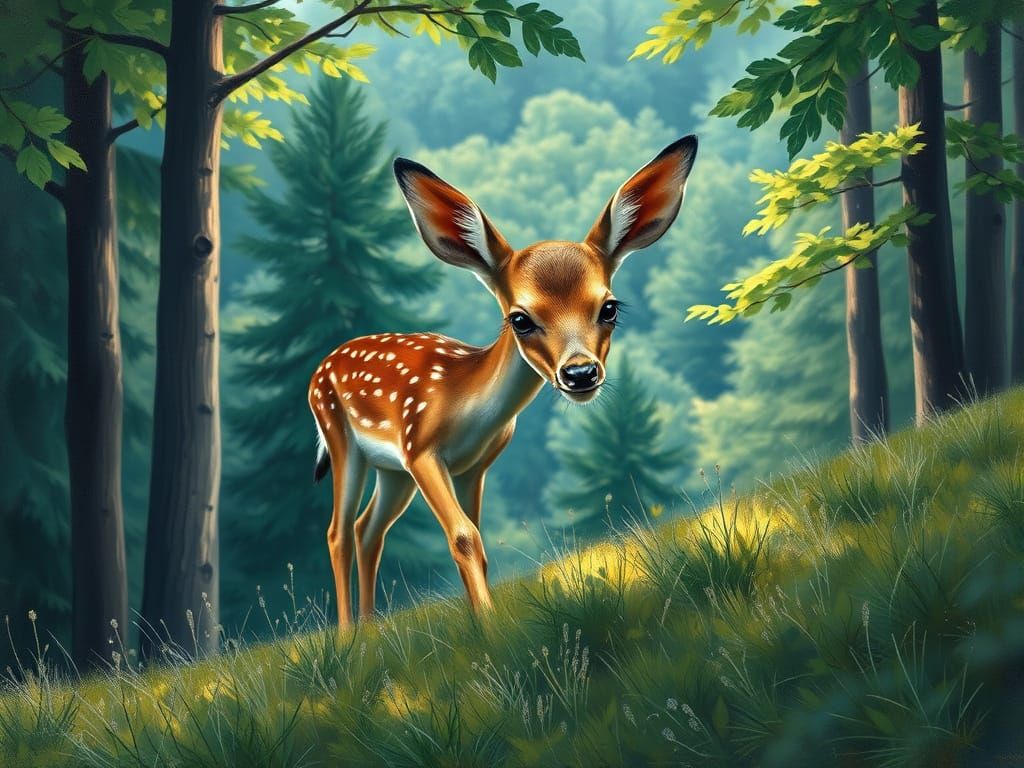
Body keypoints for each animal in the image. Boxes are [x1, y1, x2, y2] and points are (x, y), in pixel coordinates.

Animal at [307, 135, 697, 630]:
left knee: (367, 529)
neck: (466, 406)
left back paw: (371, 629)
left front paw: (482, 623)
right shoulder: (421, 448)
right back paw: (346, 636)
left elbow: (477, 538)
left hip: (391, 471)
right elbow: (462, 536)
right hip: (342, 436)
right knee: (337, 531)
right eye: (520, 319)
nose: (580, 373)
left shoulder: (474, 465)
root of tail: (322, 365)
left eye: (609, 307)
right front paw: (490, 629)